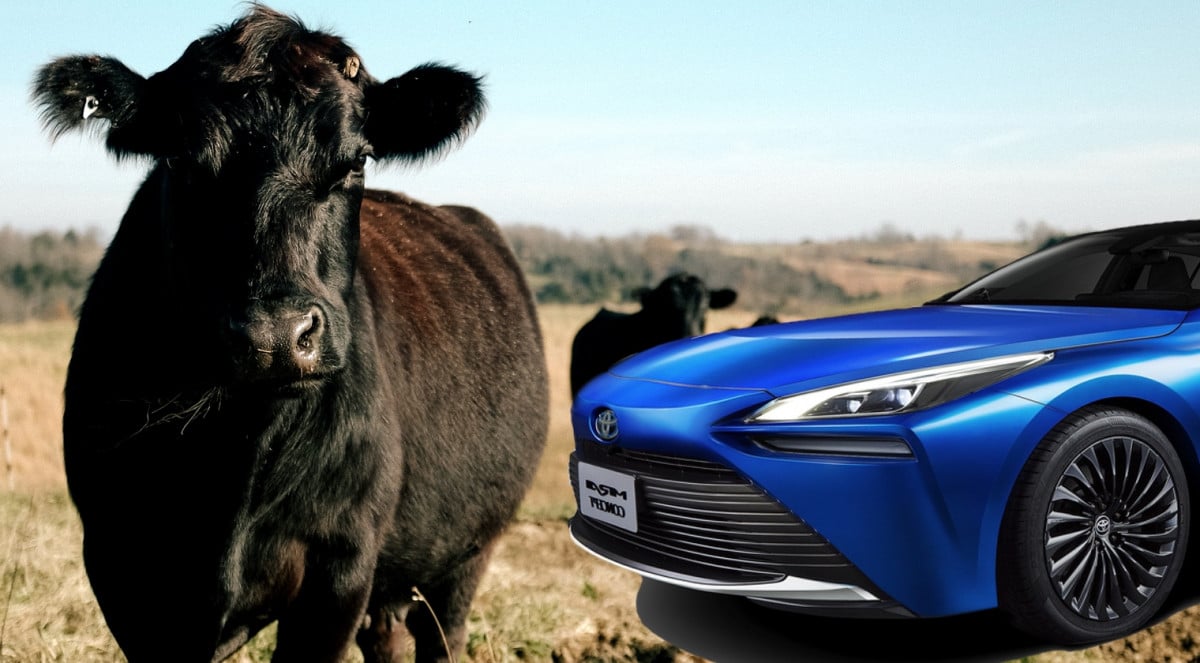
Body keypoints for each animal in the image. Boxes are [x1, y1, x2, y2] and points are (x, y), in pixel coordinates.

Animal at [32, 6, 548, 663]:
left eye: (356, 160)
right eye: (181, 161)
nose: (276, 334)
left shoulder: (339, 568)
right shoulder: (122, 564)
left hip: (465, 557)